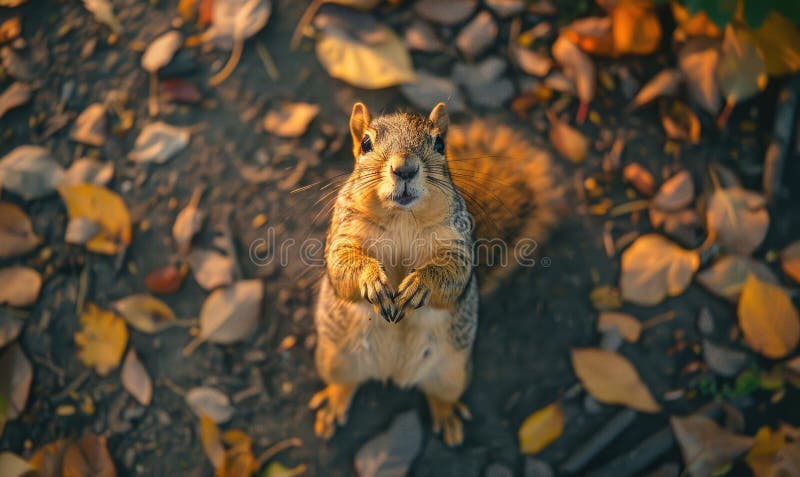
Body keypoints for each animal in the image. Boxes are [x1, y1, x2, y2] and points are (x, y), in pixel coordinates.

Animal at [310, 102, 563, 446]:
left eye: (440, 143)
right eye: (365, 143)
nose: (404, 168)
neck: (402, 217)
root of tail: (394, 374)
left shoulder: (457, 245)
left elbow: (453, 273)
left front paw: (420, 283)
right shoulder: (343, 234)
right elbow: (342, 265)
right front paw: (371, 279)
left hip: (453, 374)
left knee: (440, 395)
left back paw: (448, 417)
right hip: (335, 360)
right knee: (344, 383)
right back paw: (334, 403)